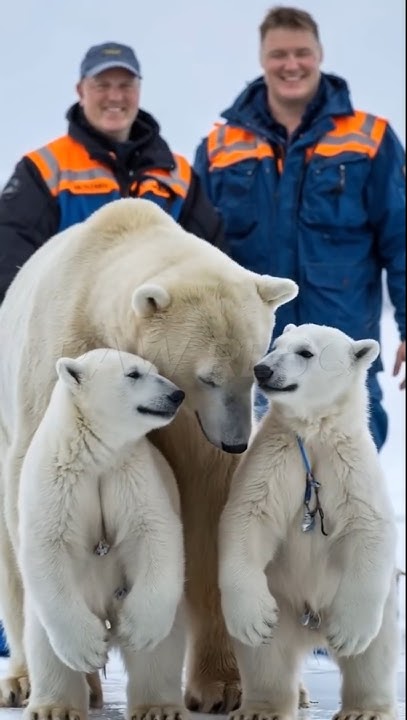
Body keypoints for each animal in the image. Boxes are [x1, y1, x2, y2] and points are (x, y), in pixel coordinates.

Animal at [18, 348, 186, 720]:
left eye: (157, 370)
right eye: (134, 374)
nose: (177, 394)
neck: (94, 454)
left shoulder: (130, 474)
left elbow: (155, 533)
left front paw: (138, 632)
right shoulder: (58, 482)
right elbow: (47, 545)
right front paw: (89, 649)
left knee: (161, 651)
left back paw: (158, 706)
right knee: (45, 647)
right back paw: (55, 707)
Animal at [219, 323, 399, 720]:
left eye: (305, 352)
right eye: (275, 346)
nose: (262, 370)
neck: (315, 431)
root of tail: (311, 627)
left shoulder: (348, 468)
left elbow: (369, 528)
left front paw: (348, 634)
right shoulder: (274, 460)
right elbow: (246, 519)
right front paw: (250, 618)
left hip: (366, 607)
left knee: (374, 654)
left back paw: (366, 709)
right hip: (281, 602)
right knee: (267, 655)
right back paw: (262, 706)